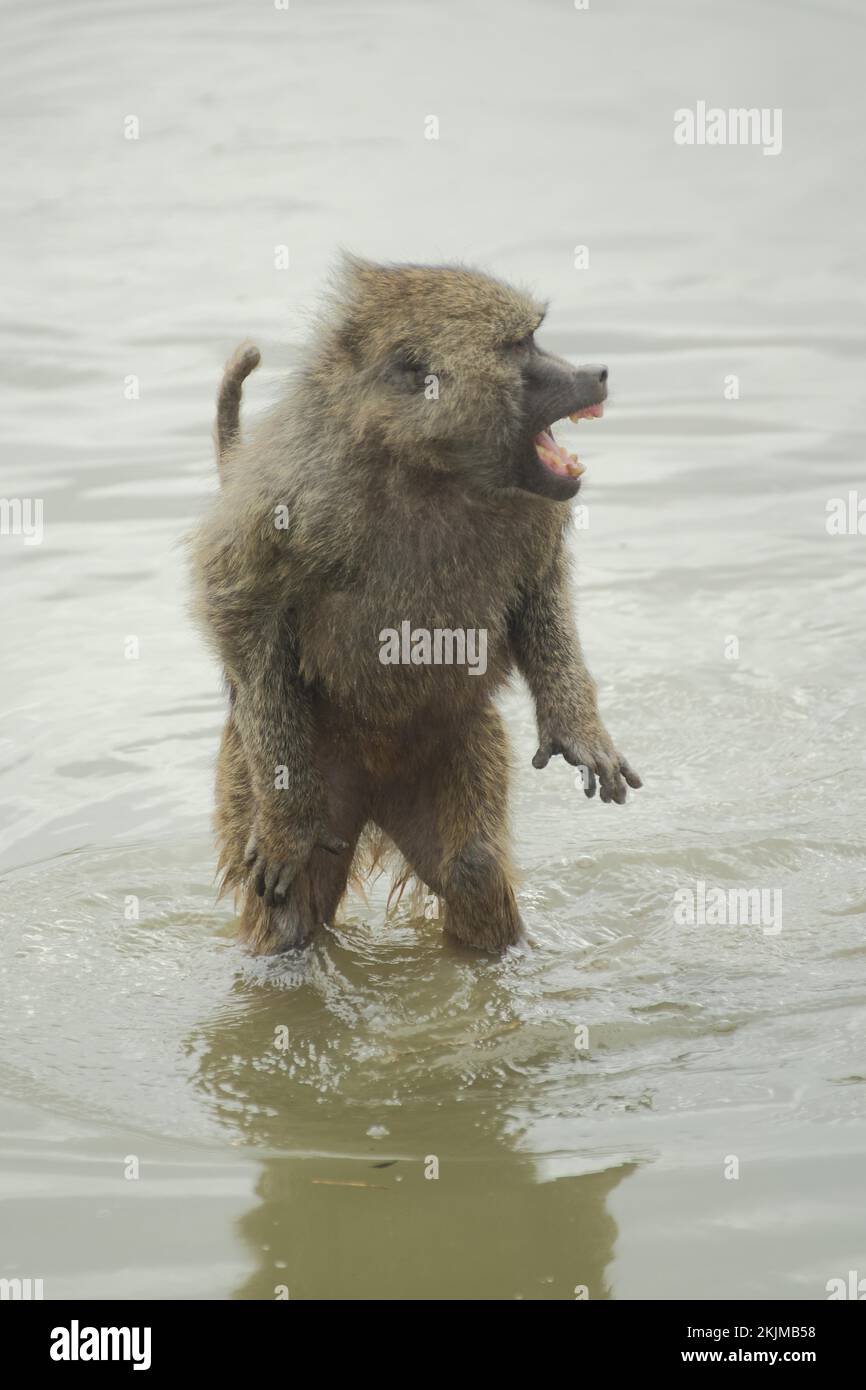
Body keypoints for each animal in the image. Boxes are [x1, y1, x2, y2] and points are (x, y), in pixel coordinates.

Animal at [190, 256, 641, 955]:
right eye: (519, 346)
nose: (596, 373)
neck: (424, 462)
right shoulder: (290, 496)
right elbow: (241, 613)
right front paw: (288, 825)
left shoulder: (532, 510)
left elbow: (538, 586)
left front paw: (578, 730)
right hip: (267, 763)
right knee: (290, 909)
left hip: (454, 744)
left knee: (472, 871)